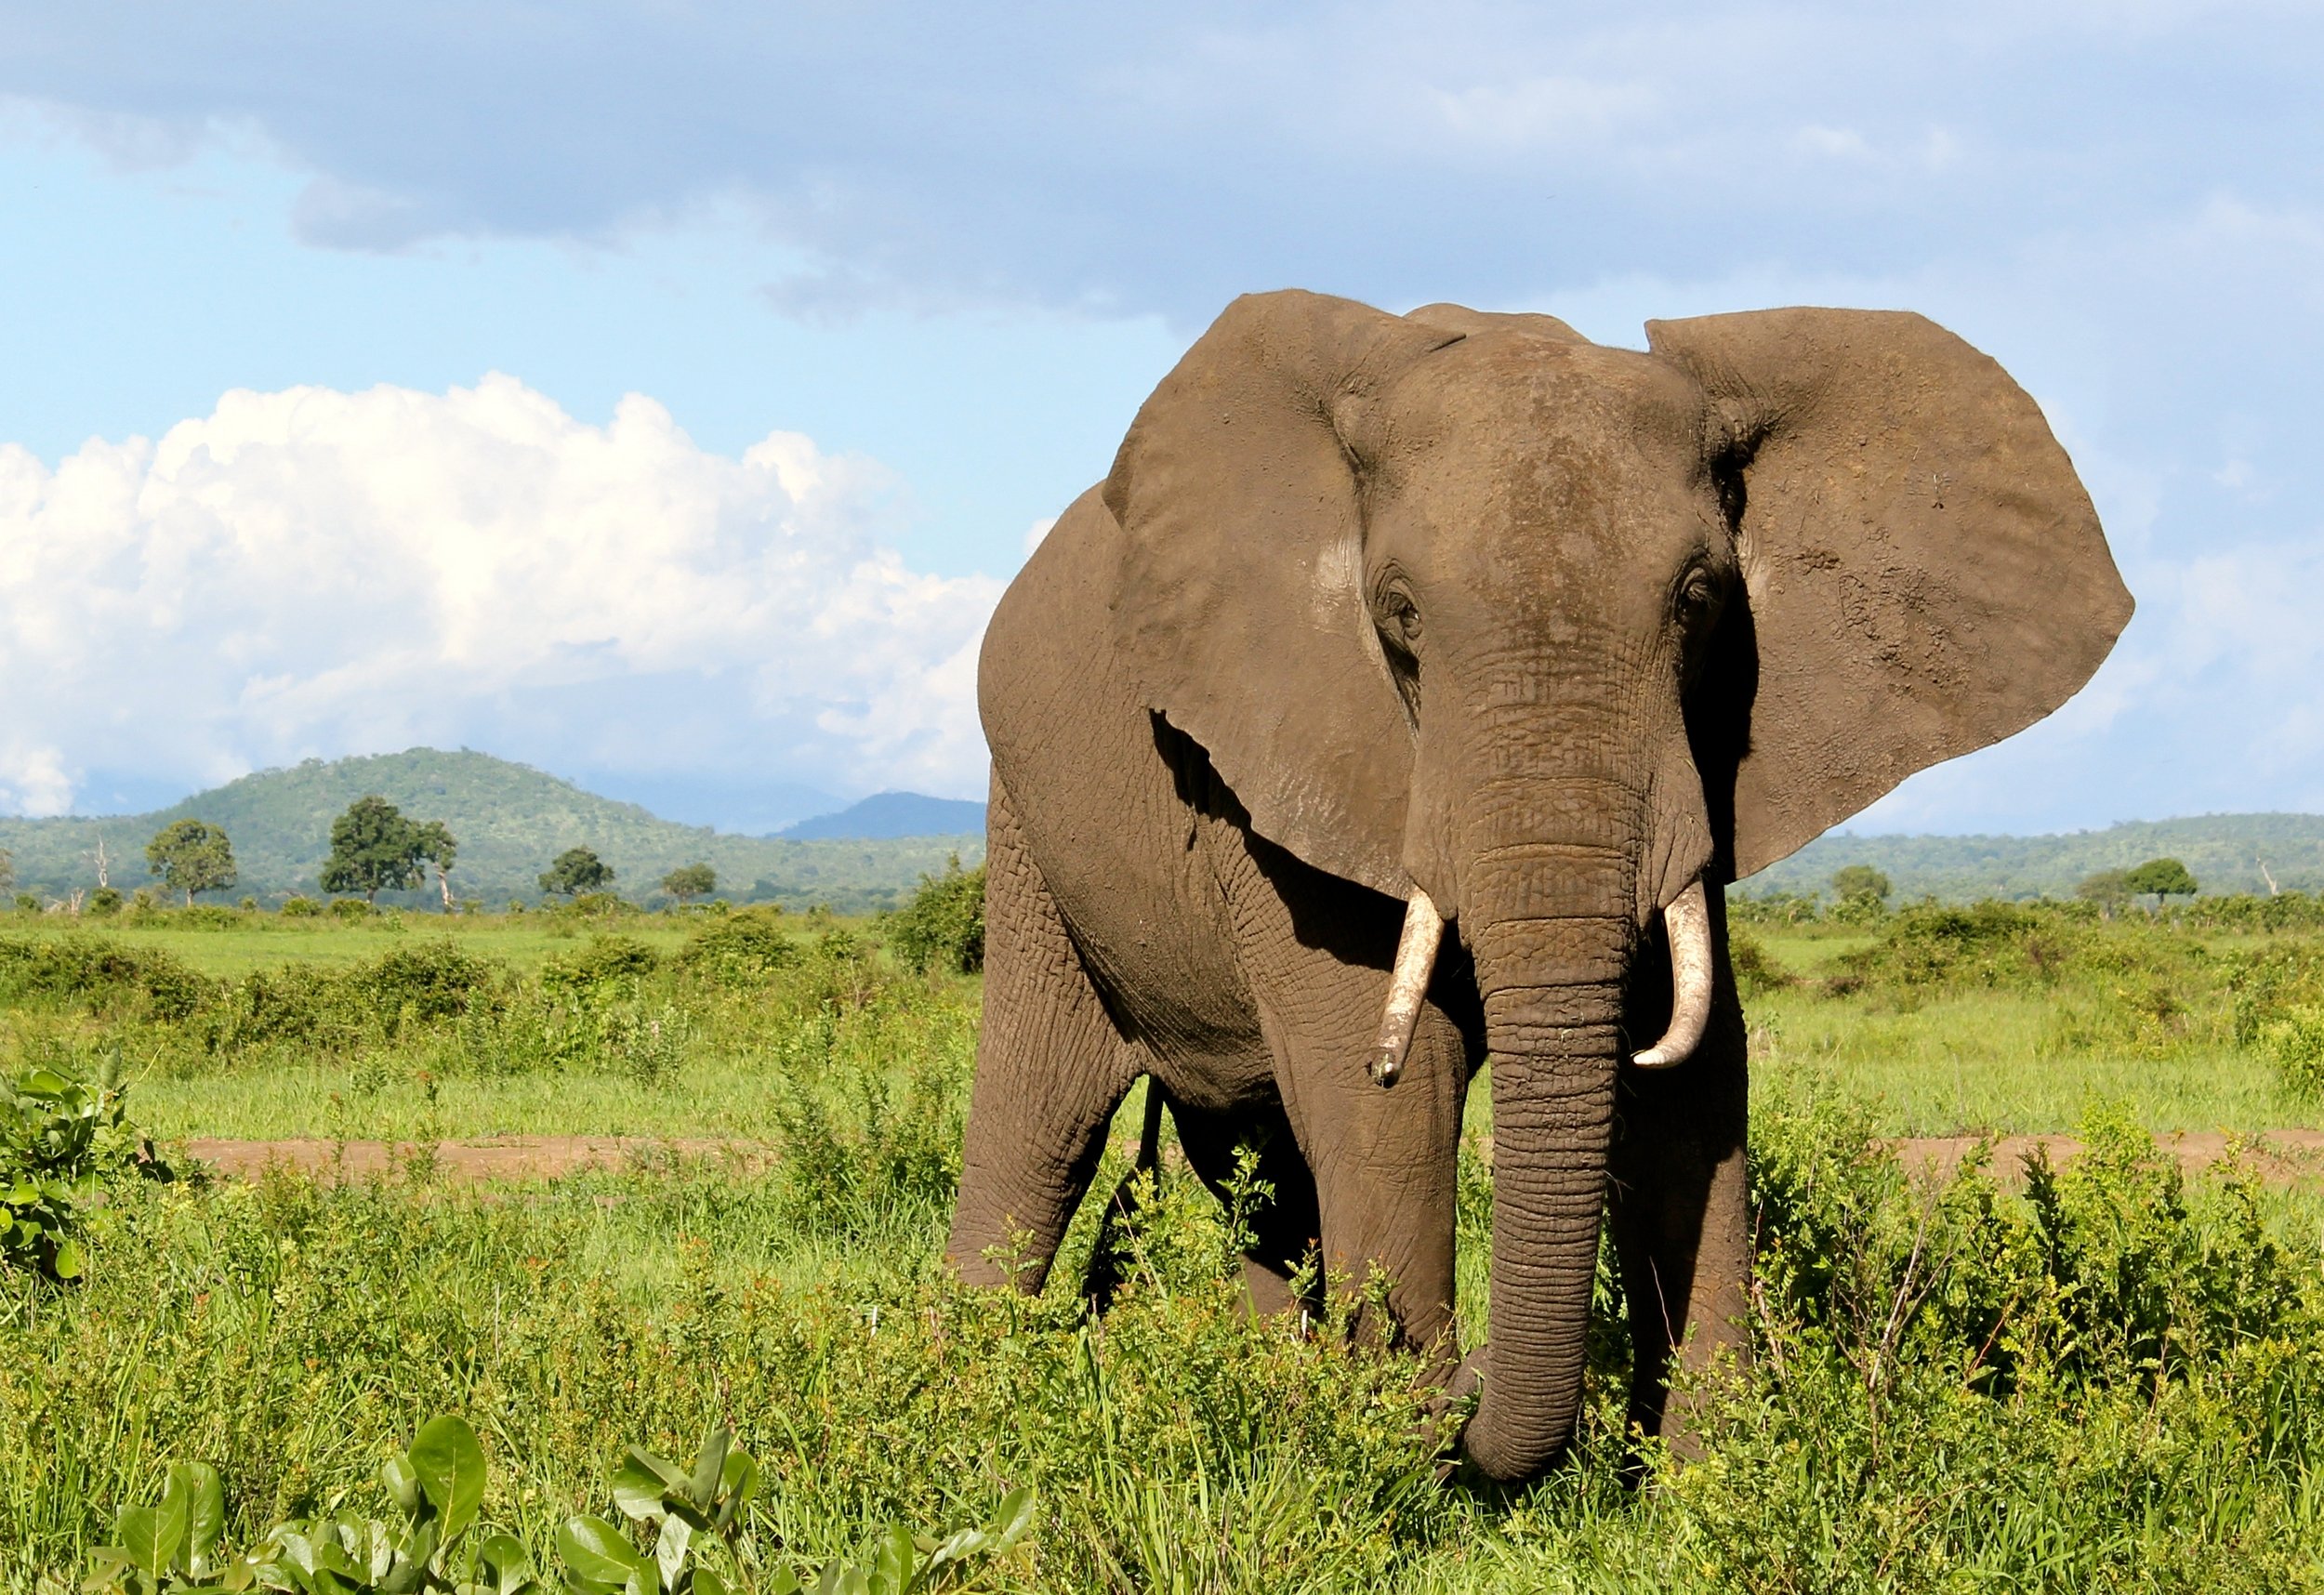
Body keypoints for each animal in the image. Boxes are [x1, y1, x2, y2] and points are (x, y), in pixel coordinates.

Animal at [944, 289, 2131, 1482]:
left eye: (1700, 602)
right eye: (1400, 614)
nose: (1461, 1386)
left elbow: (1695, 1086)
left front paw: (1701, 1486)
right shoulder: (1295, 745)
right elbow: (1389, 1087)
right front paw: (1405, 1467)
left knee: (1258, 1176)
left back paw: (1270, 1388)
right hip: (1030, 823)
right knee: (1041, 1129)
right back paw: (966, 1397)